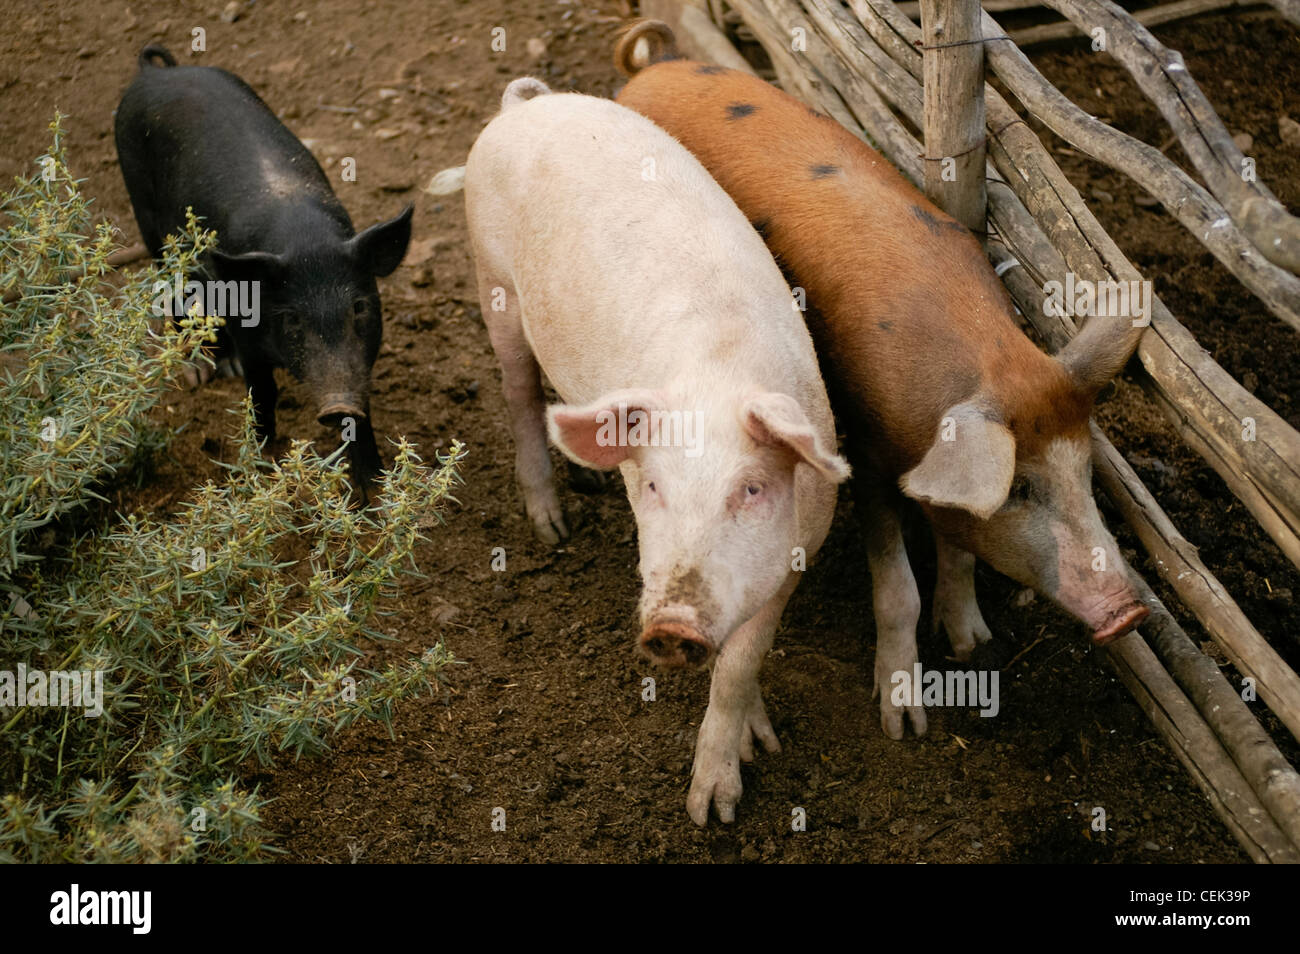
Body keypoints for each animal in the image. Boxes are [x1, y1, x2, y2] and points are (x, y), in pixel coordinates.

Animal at [114, 44, 413, 494]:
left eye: (359, 307)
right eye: (291, 317)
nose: (335, 402)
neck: (303, 239)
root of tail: (153, 73)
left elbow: (361, 409)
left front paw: (375, 491)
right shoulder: (248, 332)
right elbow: (262, 391)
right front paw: (260, 464)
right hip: (147, 216)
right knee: (174, 283)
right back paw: (201, 372)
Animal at [461, 77, 849, 824]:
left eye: (751, 490)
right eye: (651, 488)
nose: (671, 623)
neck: (719, 372)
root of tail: (525, 104)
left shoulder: (799, 555)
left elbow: (739, 665)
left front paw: (736, 777)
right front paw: (710, 813)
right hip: (493, 282)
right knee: (519, 395)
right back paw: (552, 528)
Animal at [614, 20, 1151, 738]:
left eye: (1087, 471)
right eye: (1021, 488)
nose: (1131, 611)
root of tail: (657, 67)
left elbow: (958, 549)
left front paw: (971, 644)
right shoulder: (865, 454)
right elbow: (898, 590)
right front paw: (904, 725)